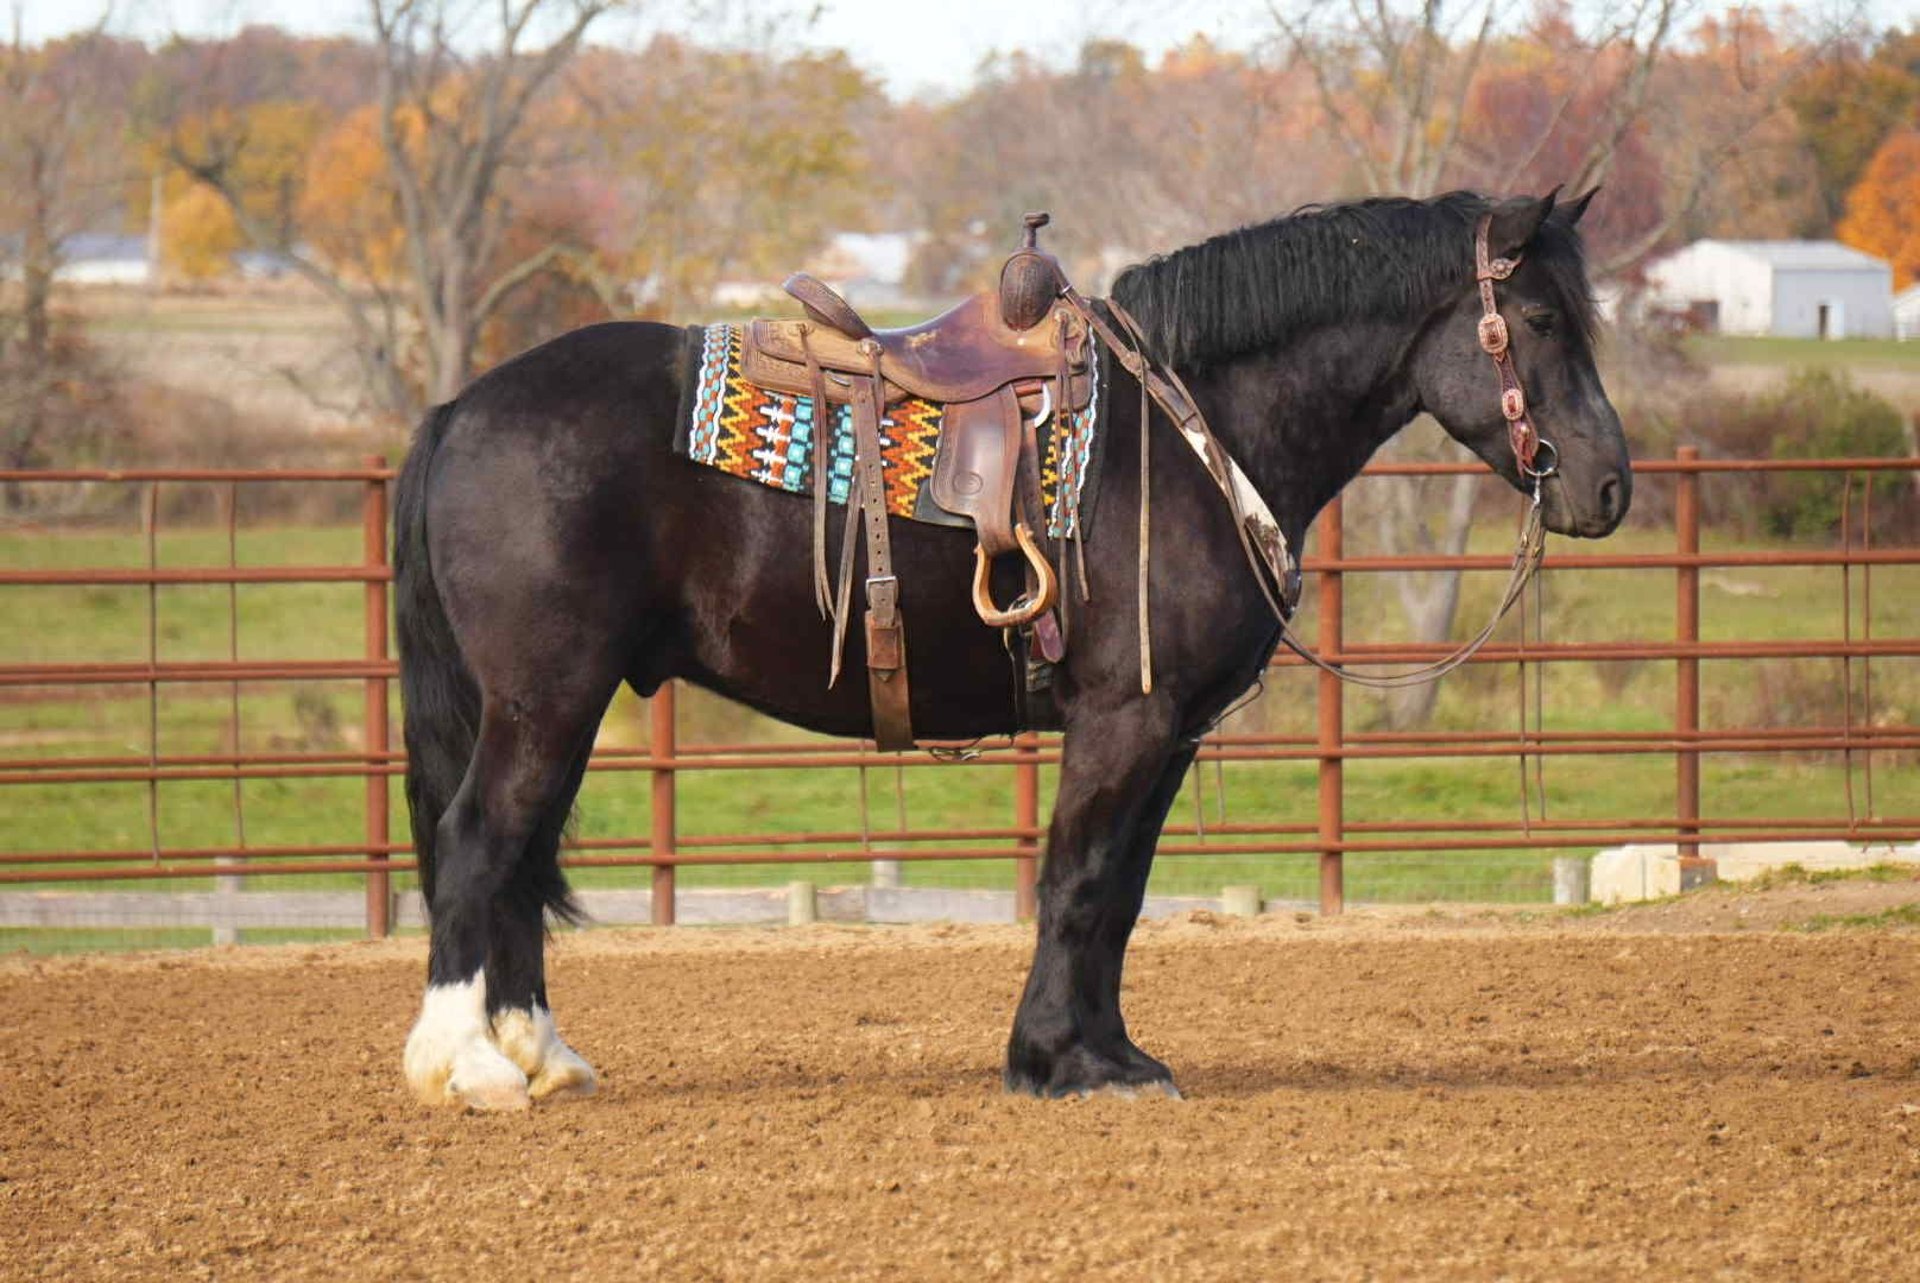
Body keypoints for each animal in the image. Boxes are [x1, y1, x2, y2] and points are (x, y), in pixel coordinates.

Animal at [393, 189, 1631, 1109]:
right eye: (1542, 320)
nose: (1610, 484)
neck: (1187, 433)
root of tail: (460, 410)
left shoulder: (1167, 735)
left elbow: (1121, 892)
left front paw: (1110, 1054)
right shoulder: (1123, 720)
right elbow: (1078, 881)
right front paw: (1052, 1060)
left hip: (560, 705)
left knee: (516, 853)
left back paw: (540, 1052)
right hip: (547, 699)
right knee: (478, 841)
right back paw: (466, 1065)